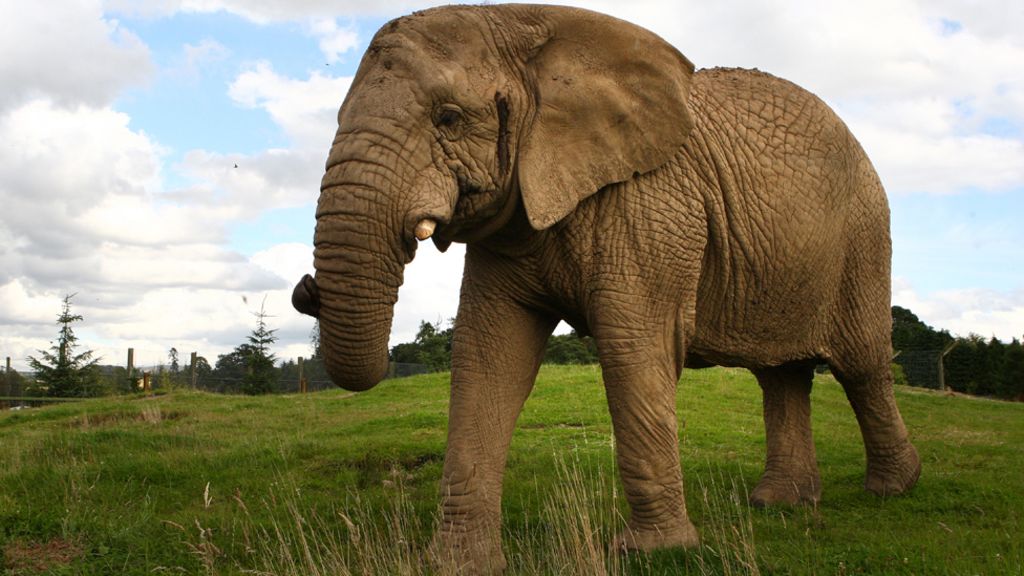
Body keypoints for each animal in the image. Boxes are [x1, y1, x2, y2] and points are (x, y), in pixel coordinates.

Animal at [291, 4, 921, 573]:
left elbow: (633, 348)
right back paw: (781, 505)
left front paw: (656, 553)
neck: (526, 29)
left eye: (448, 118)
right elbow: (488, 359)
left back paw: (894, 490)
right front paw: (457, 564)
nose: (305, 289)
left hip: (864, 235)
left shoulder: (651, 199)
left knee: (862, 363)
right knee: (780, 374)